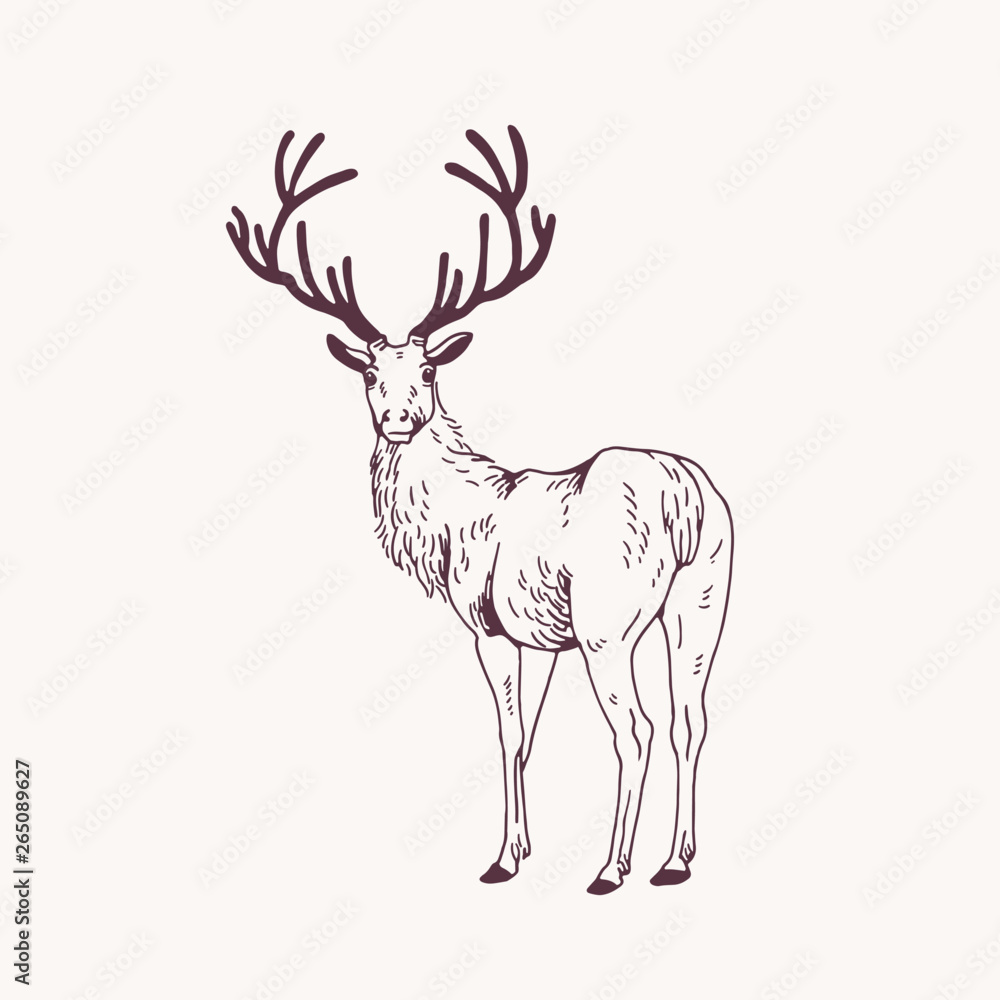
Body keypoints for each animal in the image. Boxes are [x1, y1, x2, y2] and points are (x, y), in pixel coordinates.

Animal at [227, 125, 733, 894]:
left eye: (429, 369)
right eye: (370, 372)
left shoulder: (487, 622)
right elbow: (528, 738)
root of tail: (685, 500)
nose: (399, 418)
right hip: (701, 597)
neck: (447, 527)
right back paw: (676, 860)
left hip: (609, 622)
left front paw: (500, 859)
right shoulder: (542, 637)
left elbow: (506, 732)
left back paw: (612, 868)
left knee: (637, 729)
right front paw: (522, 850)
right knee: (690, 719)